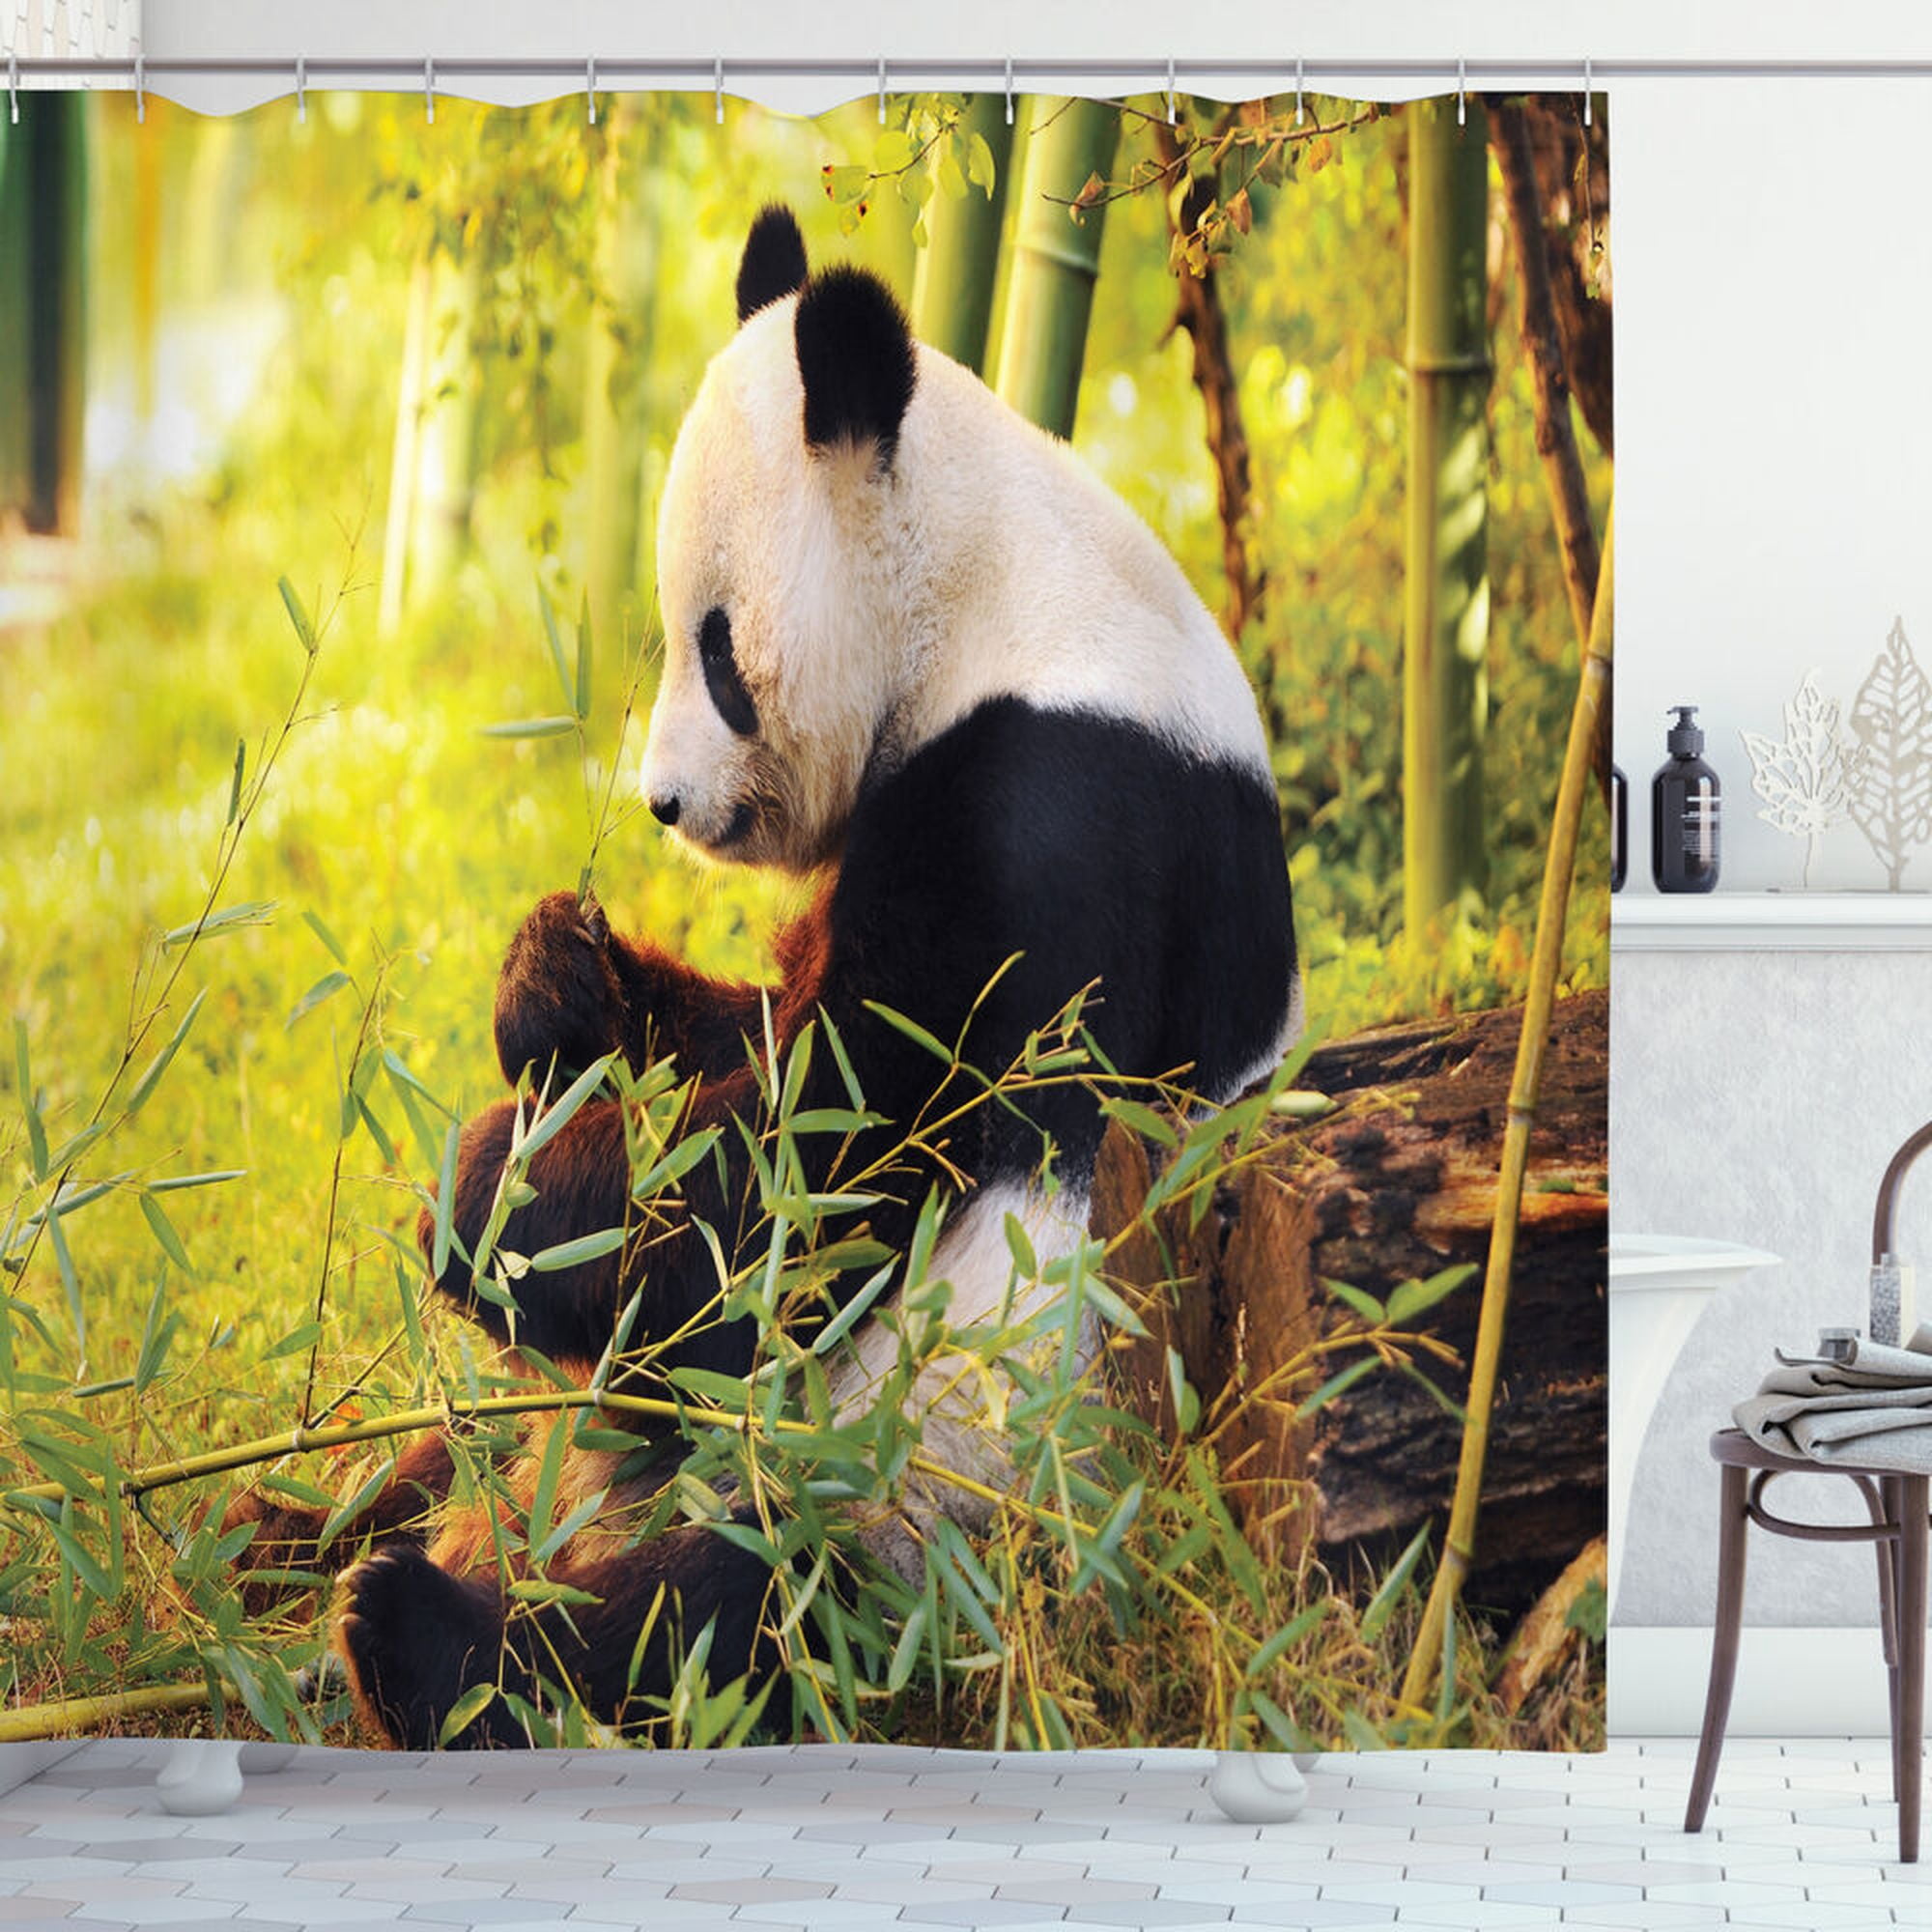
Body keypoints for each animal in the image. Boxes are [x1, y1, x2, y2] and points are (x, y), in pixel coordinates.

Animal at [318, 206, 1299, 1749]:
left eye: (715, 649)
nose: (663, 804)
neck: (988, 590)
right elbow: (760, 1030)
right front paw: (555, 980)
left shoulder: (1060, 805)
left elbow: (836, 1155)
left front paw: (491, 1197)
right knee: (443, 1460)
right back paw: (289, 1534)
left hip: (950, 1488)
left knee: (737, 1619)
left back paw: (425, 1639)